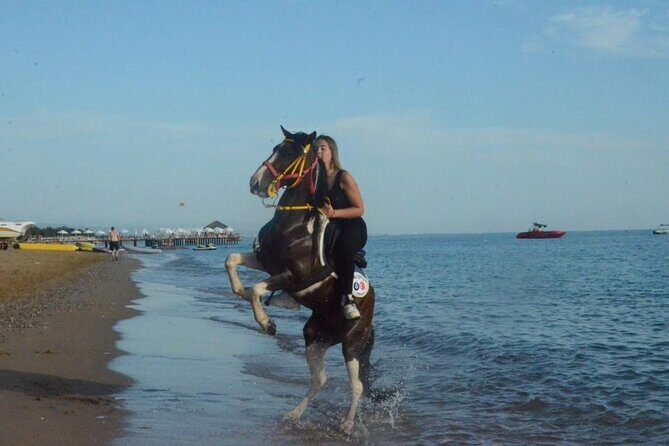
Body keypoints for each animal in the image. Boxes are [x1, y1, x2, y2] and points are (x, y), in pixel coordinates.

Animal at [225, 127, 376, 435]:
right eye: (275, 147)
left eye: (290, 153)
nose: (255, 182)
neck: (293, 226)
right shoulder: (265, 262)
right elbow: (232, 260)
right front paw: (241, 292)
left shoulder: (291, 277)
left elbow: (257, 288)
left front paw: (267, 323)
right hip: (315, 337)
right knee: (320, 380)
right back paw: (293, 415)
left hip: (352, 343)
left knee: (356, 385)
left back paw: (347, 425)